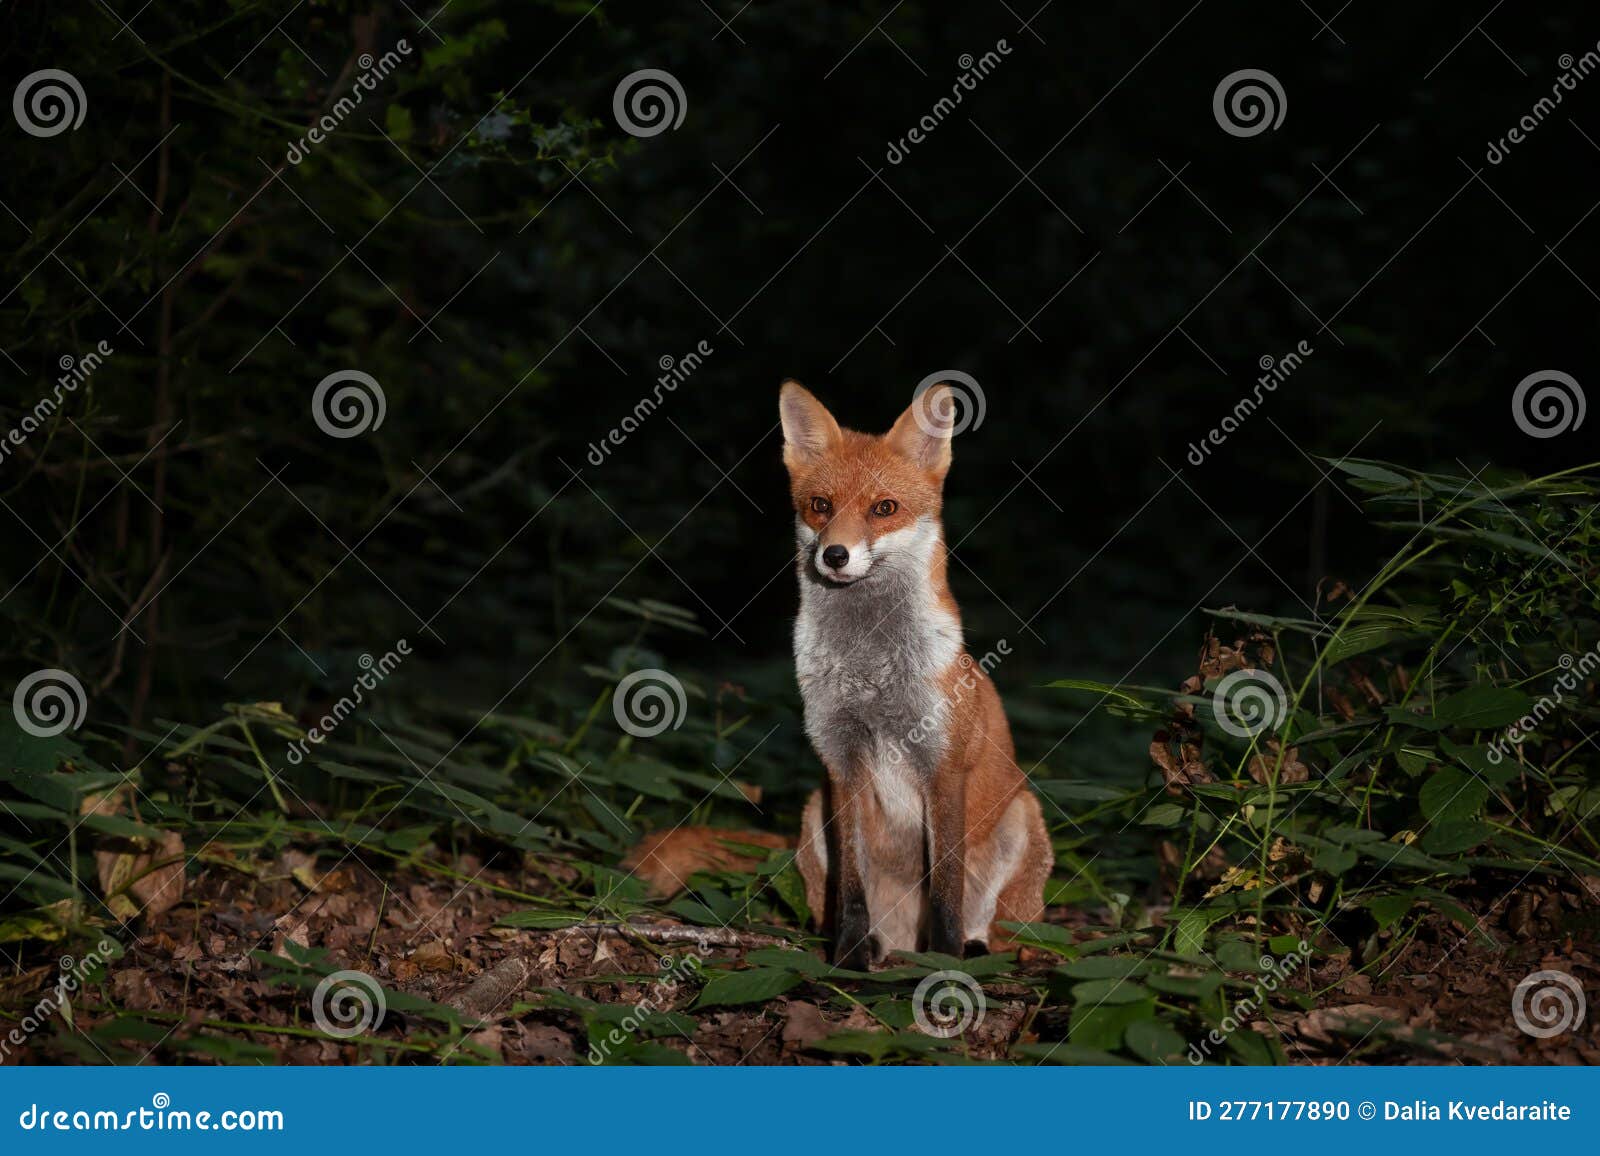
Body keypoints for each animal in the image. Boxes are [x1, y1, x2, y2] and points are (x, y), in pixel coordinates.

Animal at [779, 379, 1052, 968]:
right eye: (820, 506)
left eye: (884, 508)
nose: (835, 555)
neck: (872, 676)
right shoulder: (841, 762)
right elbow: (851, 886)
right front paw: (849, 957)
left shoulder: (942, 766)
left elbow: (946, 888)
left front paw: (943, 962)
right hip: (813, 812)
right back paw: (880, 950)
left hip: (1020, 820)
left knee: (997, 929)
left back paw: (970, 950)